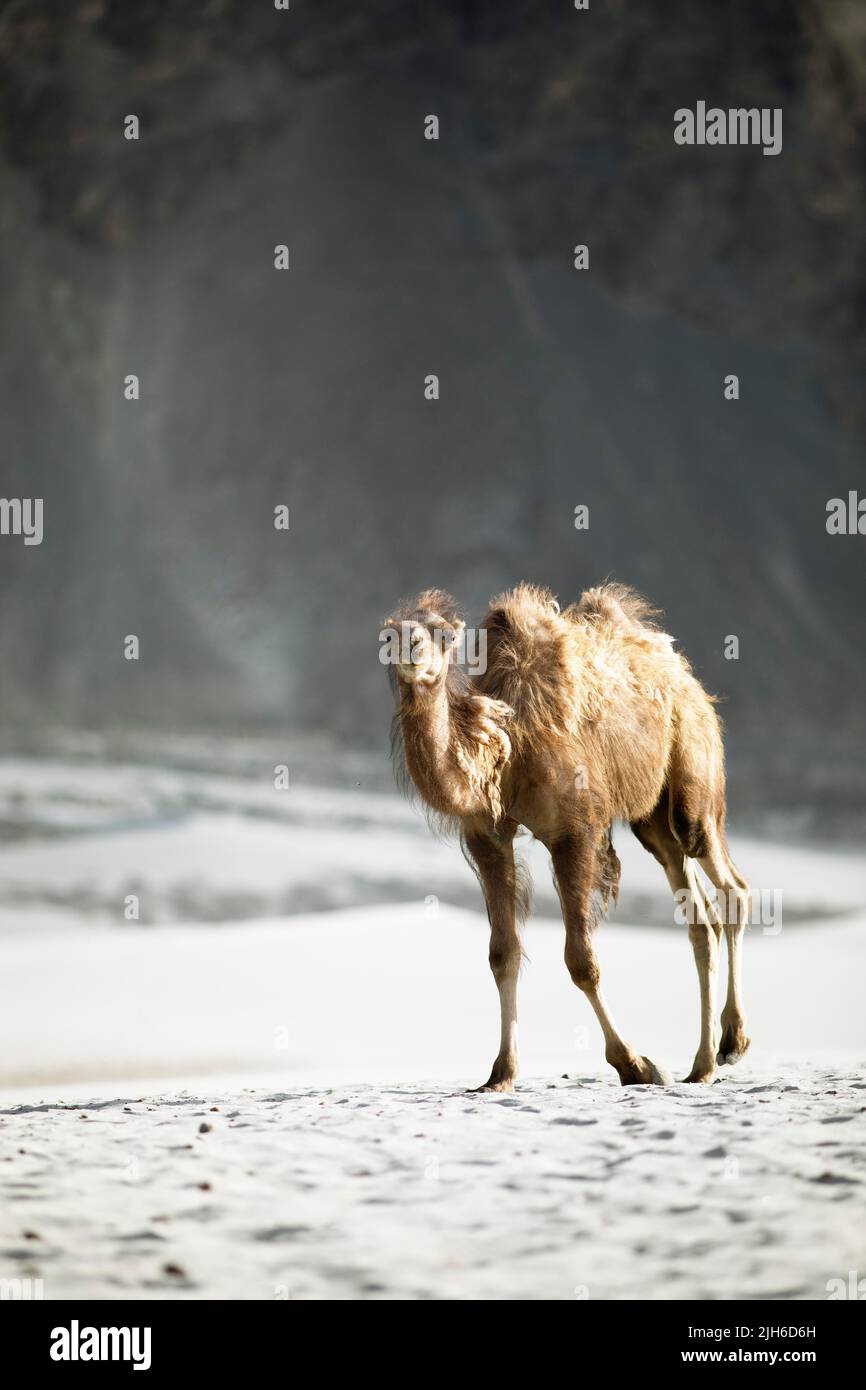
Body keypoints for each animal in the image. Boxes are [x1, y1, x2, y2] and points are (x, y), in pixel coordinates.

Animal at [382, 582, 751, 1091]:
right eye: (389, 634)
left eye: (443, 634)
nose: (411, 648)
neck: (507, 747)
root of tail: (683, 673)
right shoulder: (487, 838)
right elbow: (503, 954)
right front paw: (500, 1073)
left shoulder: (574, 832)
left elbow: (581, 961)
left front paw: (634, 1064)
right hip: (652, 822)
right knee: (700, 917)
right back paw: (702, 1064)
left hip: (694, 779)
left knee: (731, 885)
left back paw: (732, 1042)